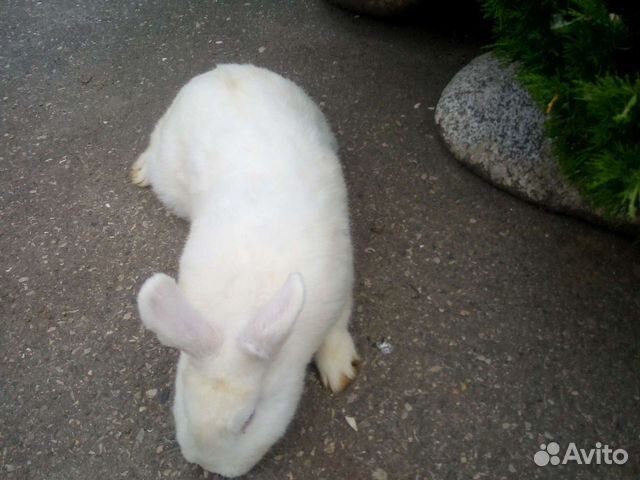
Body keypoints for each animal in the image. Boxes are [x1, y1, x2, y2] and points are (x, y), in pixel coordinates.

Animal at [132, 64, 360, 478]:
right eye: (181, 401)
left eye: (250, 419)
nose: (211, 466)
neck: (242, 307)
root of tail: (223, 72)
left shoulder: (341, 283)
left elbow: (339, 327)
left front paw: (339, 370)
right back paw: (140, 170)